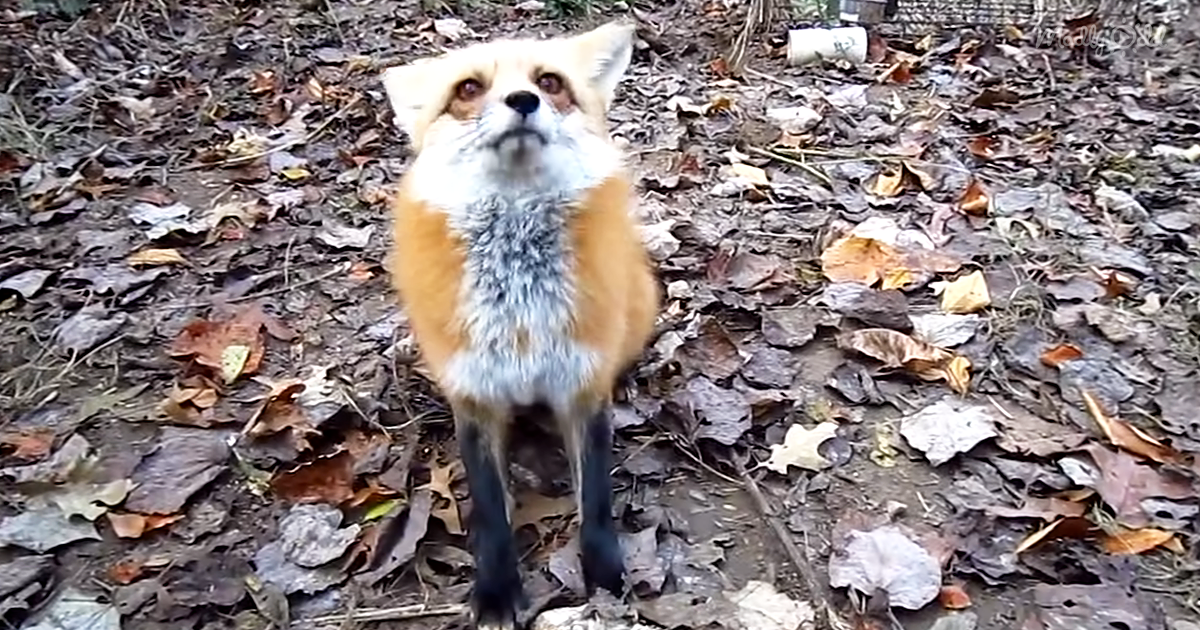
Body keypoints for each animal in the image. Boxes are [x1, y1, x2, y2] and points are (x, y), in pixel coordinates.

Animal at [379, 21, 660, 630]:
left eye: (549, 82)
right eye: (467, 89)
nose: (523, 101)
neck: (521, 304)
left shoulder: (582, 385)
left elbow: (596, 499)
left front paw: (605, 579)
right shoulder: (475, 395)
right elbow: (489, 510)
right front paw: (496, 591)